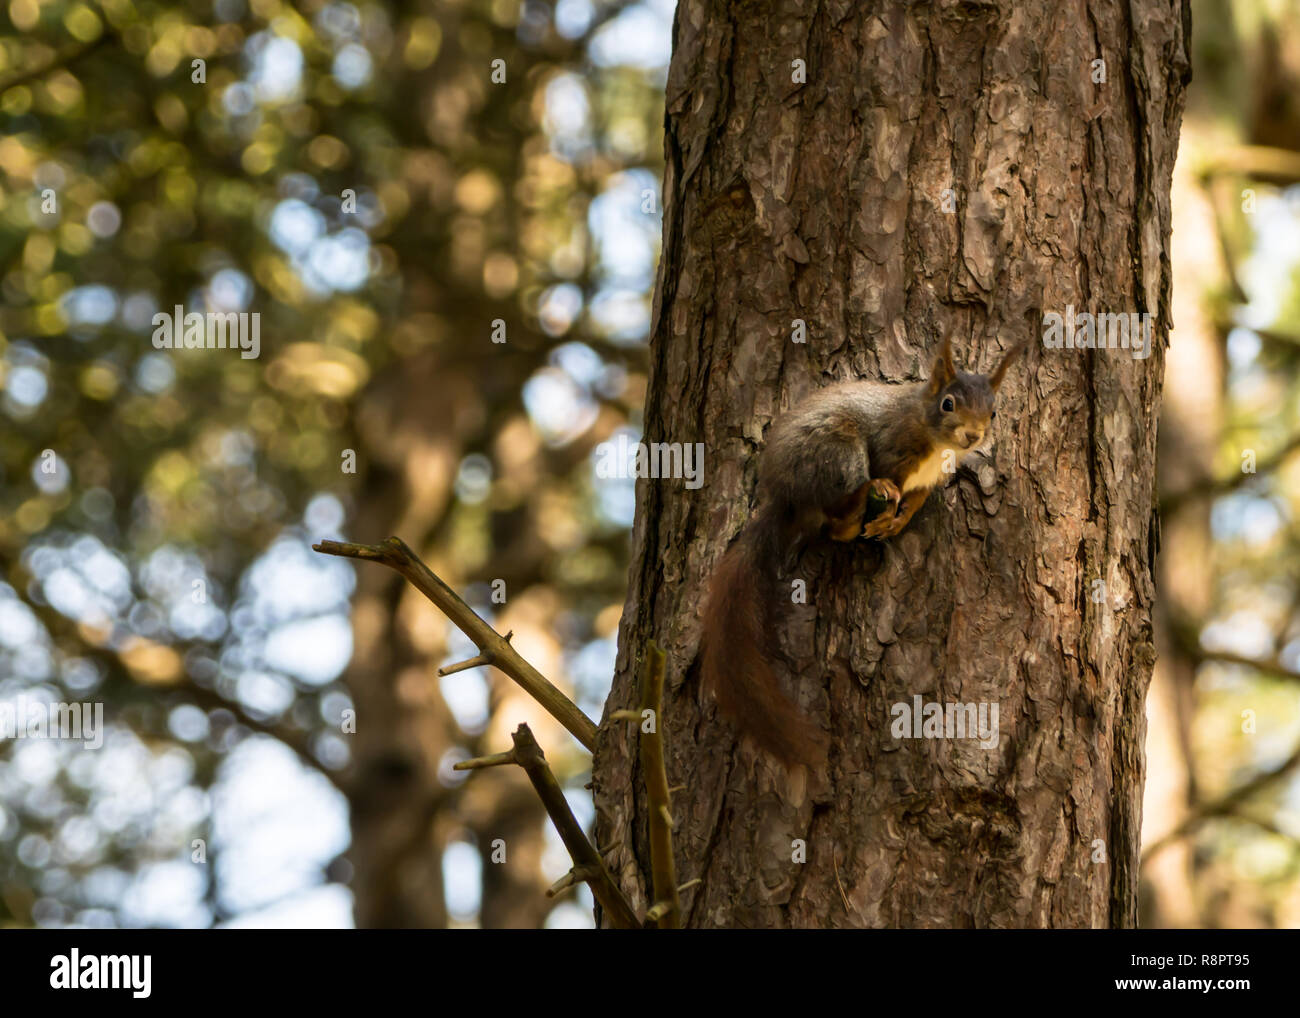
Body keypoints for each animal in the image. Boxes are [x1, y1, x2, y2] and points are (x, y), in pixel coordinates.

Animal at [699, 337, 1022, 768]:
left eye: (994, 410)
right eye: (948, 404)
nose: (972, 435)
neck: (933, 437)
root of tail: (784, 499)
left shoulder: (930, 479)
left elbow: (916, 501)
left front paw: (897, 522)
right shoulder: (890, 447)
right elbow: (891, 473)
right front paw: (887, 497)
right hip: (838, 451)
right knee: (839, 513)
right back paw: (863, 499)